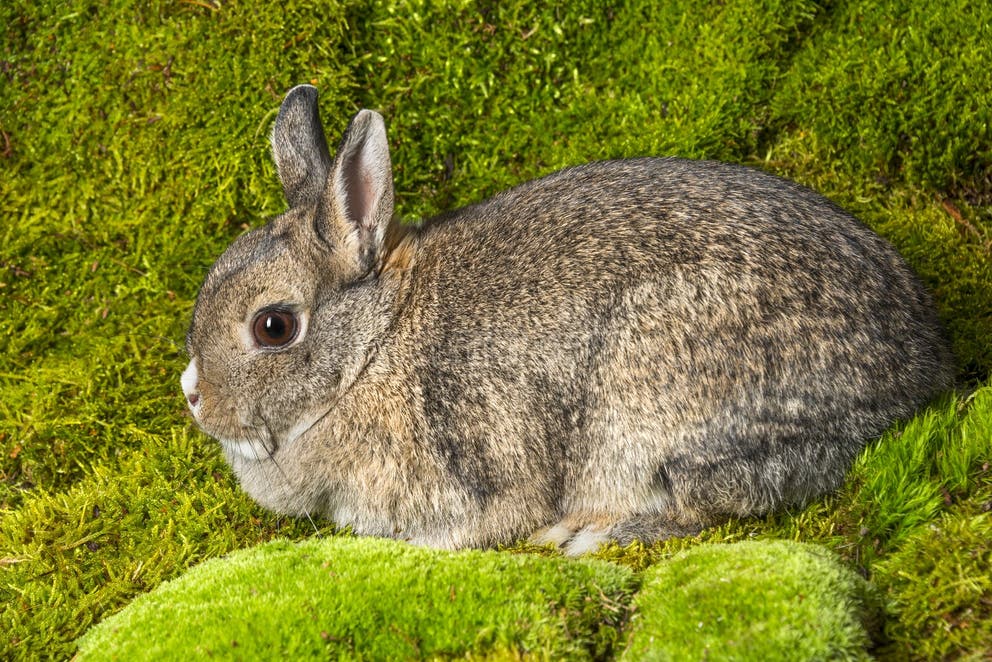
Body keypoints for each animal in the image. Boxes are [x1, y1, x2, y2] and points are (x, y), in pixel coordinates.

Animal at [181, 85, 954, 555]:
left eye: (274, 327)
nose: (192, 396)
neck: (375, 347)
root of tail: (918, 373)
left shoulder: (482, 458)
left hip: (654, 399)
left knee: (706, 501)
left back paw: (589, 534)